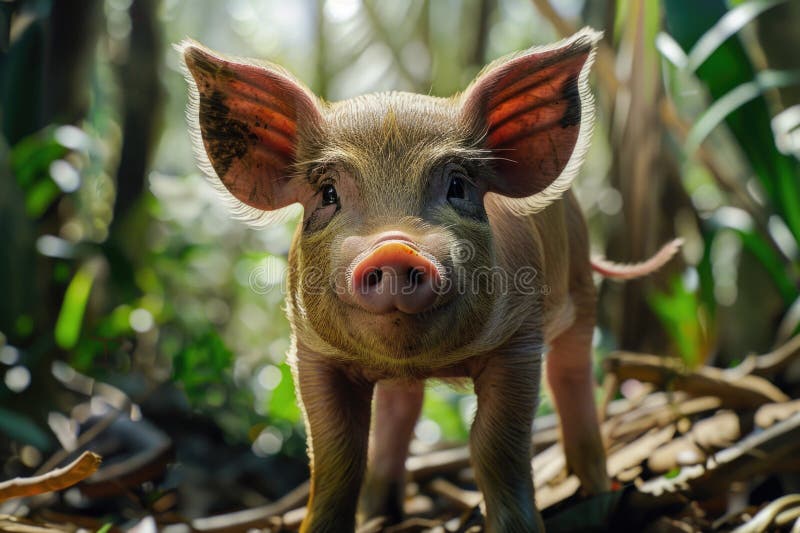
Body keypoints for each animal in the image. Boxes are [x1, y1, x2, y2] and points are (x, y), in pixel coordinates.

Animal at [179, 27, 681, 532]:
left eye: (457, 186)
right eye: (328, 193)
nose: (394, 248)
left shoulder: (519, 339)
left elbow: (494, 449)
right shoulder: (310, 351)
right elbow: (337, 457)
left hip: (580, 290)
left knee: (572, 379)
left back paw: (600, 491)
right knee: (400, 413)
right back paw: (383, 514)